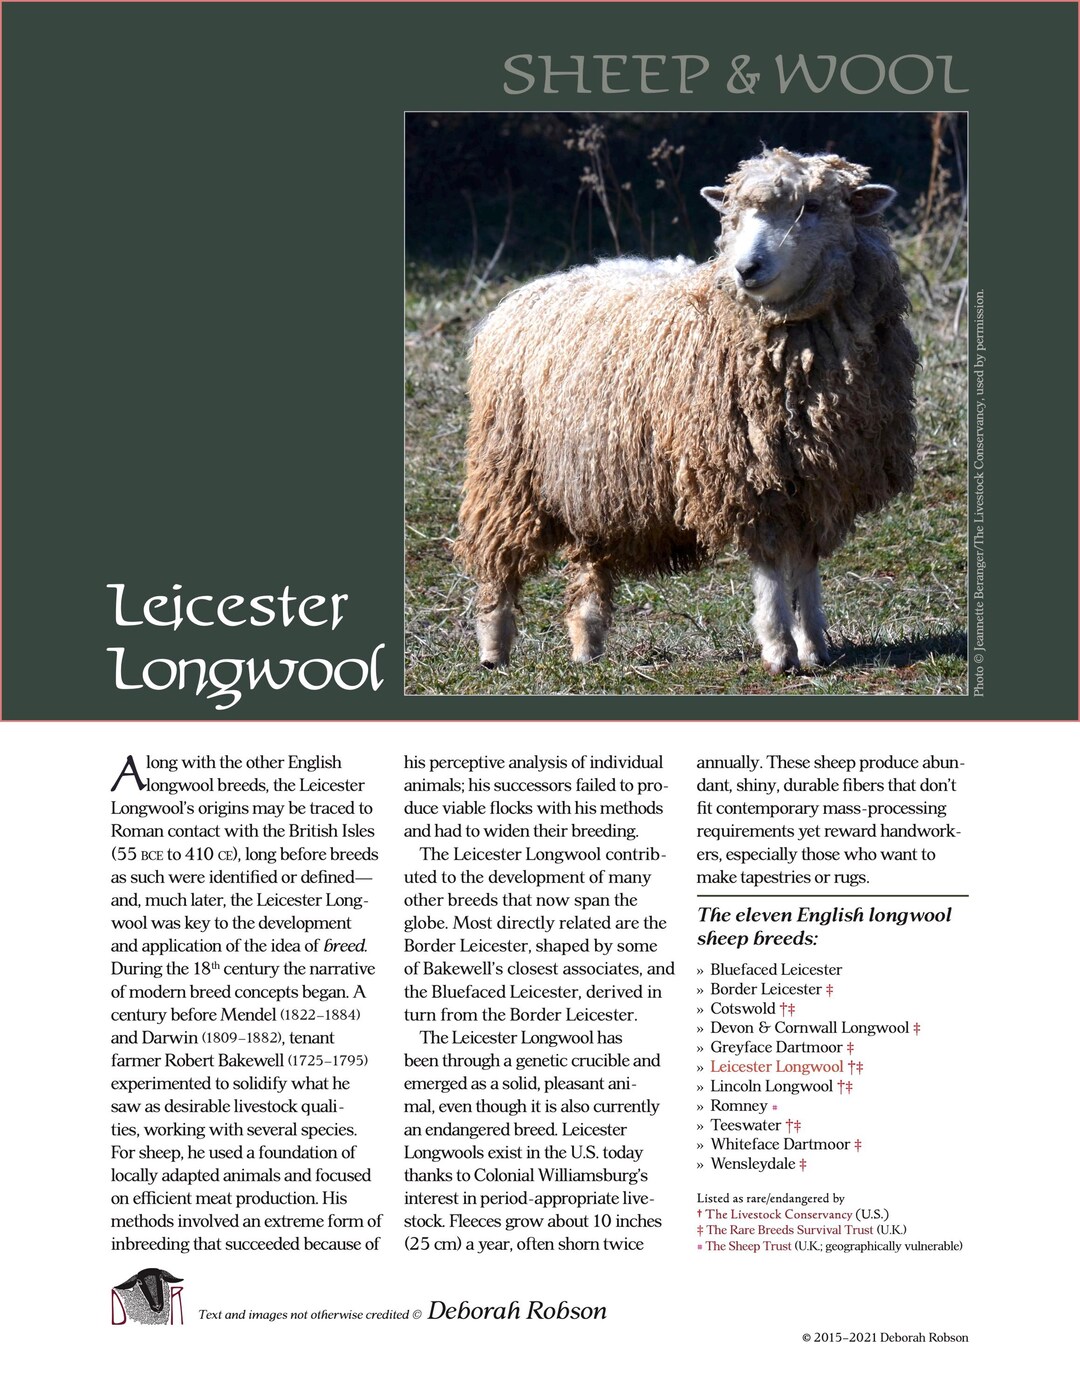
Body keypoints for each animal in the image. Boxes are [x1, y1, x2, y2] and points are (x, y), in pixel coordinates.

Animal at [455, 147, 917, 676]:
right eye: (732, 216)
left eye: (814, 206)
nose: (746, 268)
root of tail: (535, 288)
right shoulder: (746, 477)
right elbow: (771, 569)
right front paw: (779, 650)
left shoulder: (817, 480)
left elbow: (805, 567)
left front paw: (815, 646)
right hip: (506, 470)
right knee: (498, 562)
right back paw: (493, 648)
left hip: (590, 477)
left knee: (587, 565)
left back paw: (587, 645)